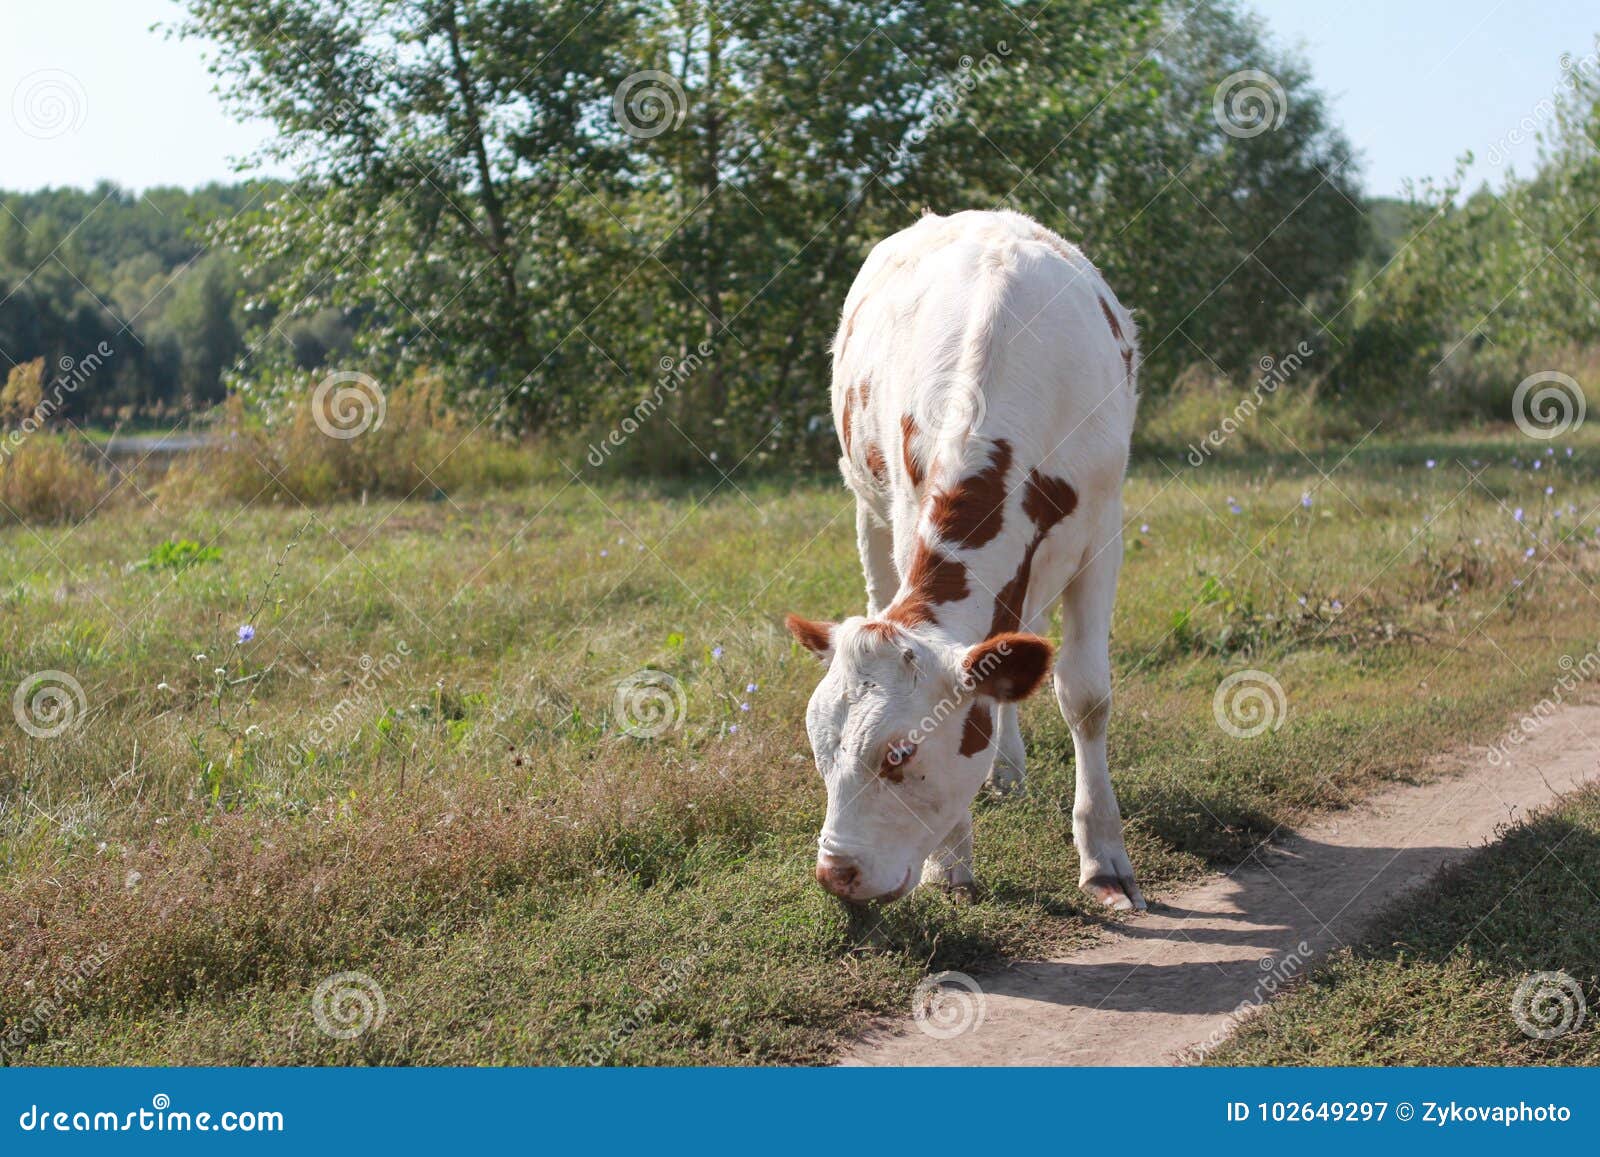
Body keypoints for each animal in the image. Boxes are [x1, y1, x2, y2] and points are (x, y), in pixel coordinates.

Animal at [785, 209, 1144, 912]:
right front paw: (950, 863)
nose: (836, 875)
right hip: (865, 505)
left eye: (898, 756)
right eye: (818, 748)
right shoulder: (905, 513)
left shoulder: (1102, 535)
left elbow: (1085, 694)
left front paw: (1104, 857)